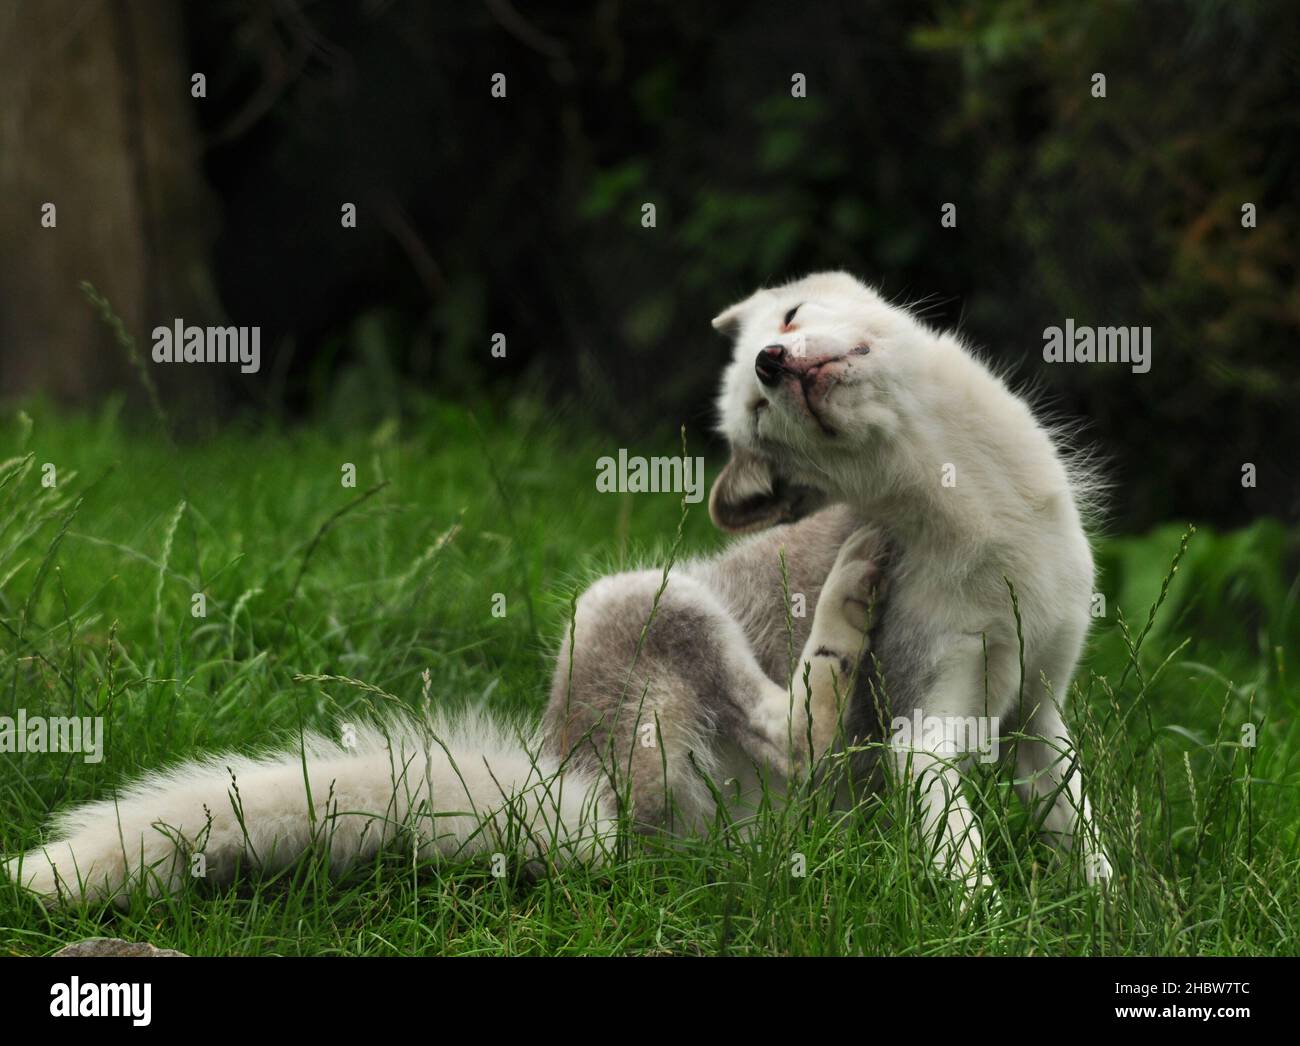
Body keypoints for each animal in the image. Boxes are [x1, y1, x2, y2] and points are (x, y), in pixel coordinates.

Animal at [6, 271, 1108, 905]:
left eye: (794, 318)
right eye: (759, 410)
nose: (771, 356)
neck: (984, 506)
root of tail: (584, 802)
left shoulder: (1039, 707)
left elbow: (1074, 819)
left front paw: (1101, 903)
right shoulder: (930, 726)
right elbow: (960, 854)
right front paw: (985, 923)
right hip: (635, 599)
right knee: (793, 723)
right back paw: (848, 589)